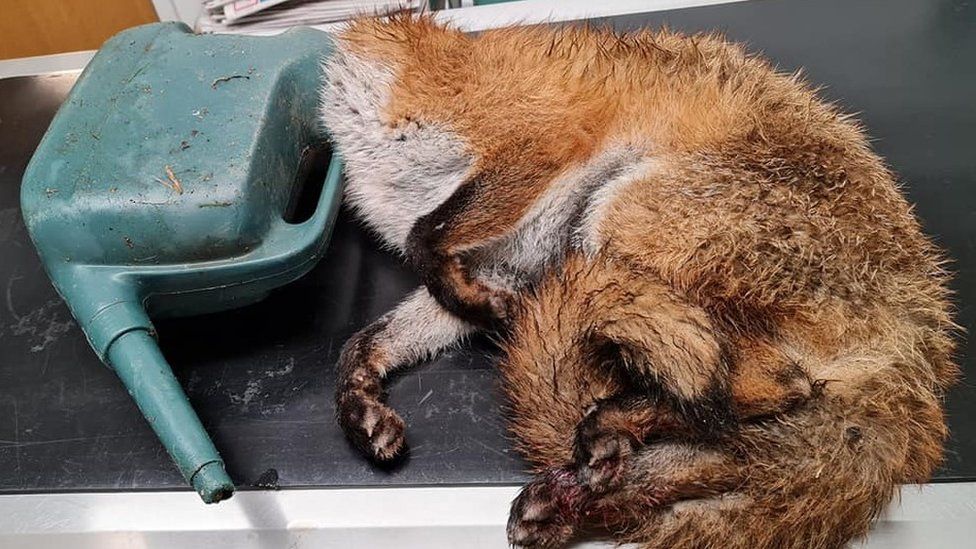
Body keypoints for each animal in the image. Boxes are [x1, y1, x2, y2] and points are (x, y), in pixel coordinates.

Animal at [319, 14, 957, 549]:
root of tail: (918, 334)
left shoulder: (530, 143)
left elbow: (424, 238)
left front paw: (478, 306)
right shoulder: (504, 261)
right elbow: (364, 342)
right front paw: (361, 408)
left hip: (620, 213)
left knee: (768, 387)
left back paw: (609, 430)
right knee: (732, 435)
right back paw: (583, 492)